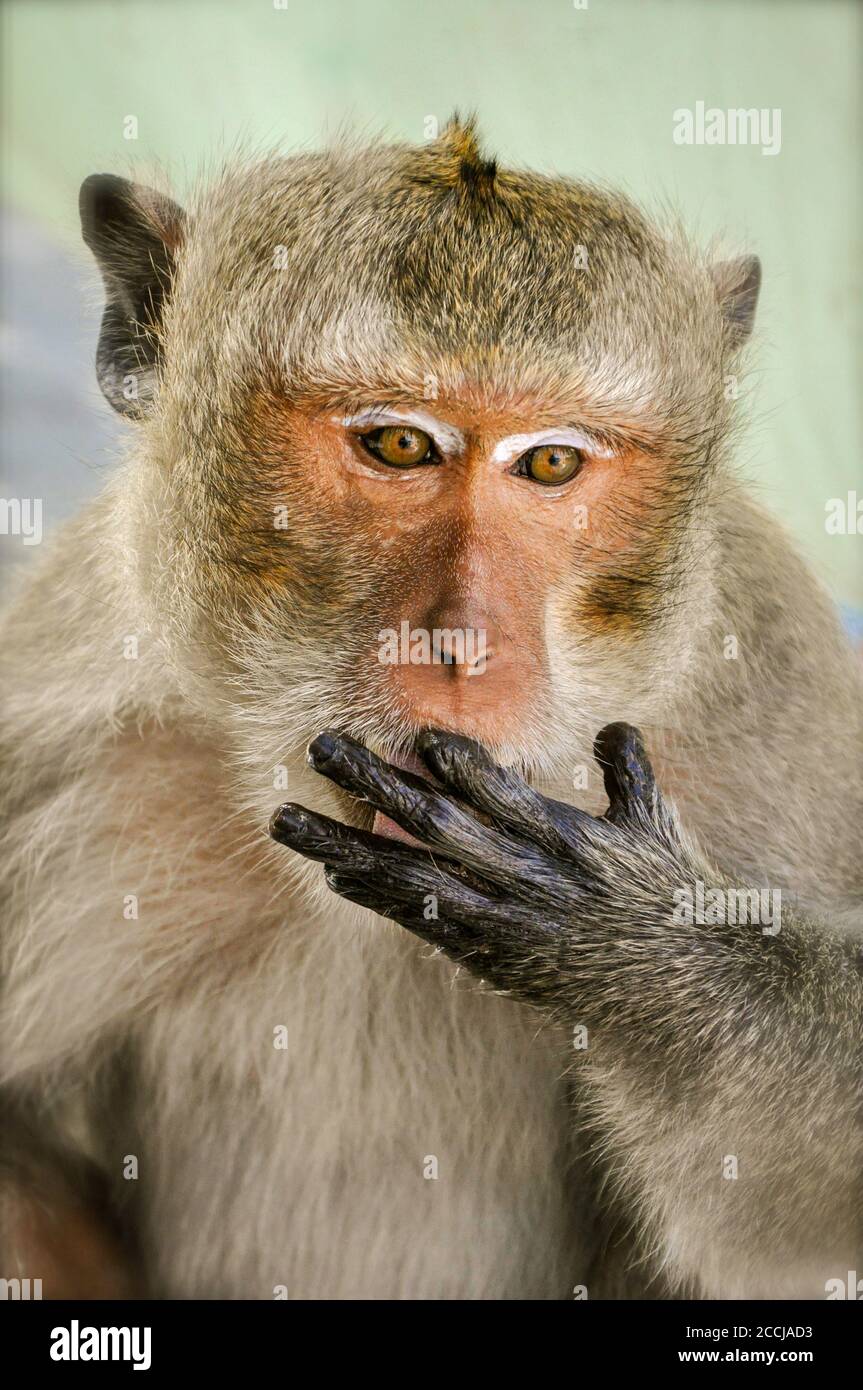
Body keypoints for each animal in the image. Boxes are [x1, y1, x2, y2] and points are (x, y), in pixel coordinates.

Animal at [0, 115, 861, 1301]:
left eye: (549, 462)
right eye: (399, 445)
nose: (460, 645)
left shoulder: (766, 722)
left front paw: (653, 960)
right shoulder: (65, 738)